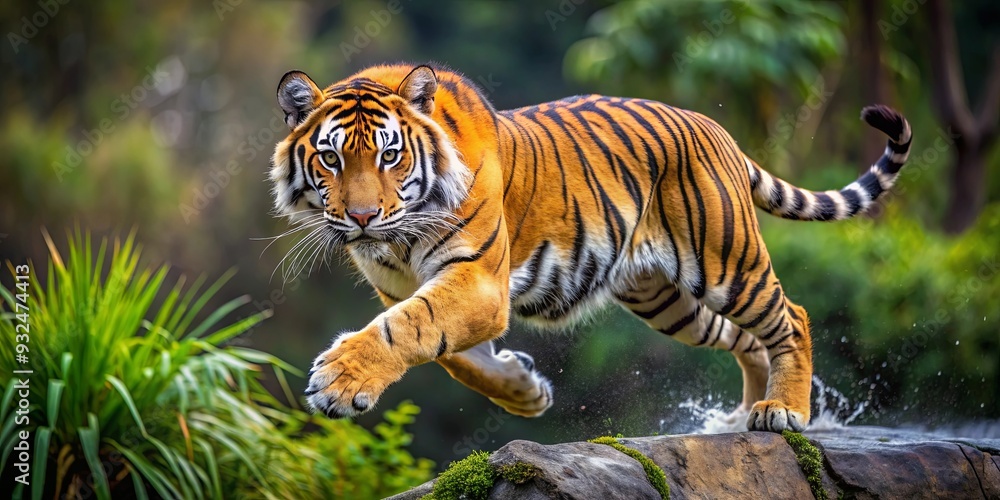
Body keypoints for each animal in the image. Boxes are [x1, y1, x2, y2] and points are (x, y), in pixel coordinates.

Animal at [269, 63, 911, 432]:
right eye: (331, 158)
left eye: (389, 154)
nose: (361, 217)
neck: (396, 242)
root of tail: (717, 129)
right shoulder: (411, 288)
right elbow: (452, 354)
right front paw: (524, 393)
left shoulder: (477, 280)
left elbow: (408, 329)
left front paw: (340, 382)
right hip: (667, 301)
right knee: (747, 339)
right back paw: (739, 419)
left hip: (725, 262)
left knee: (791, 317)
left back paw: (784, 412)